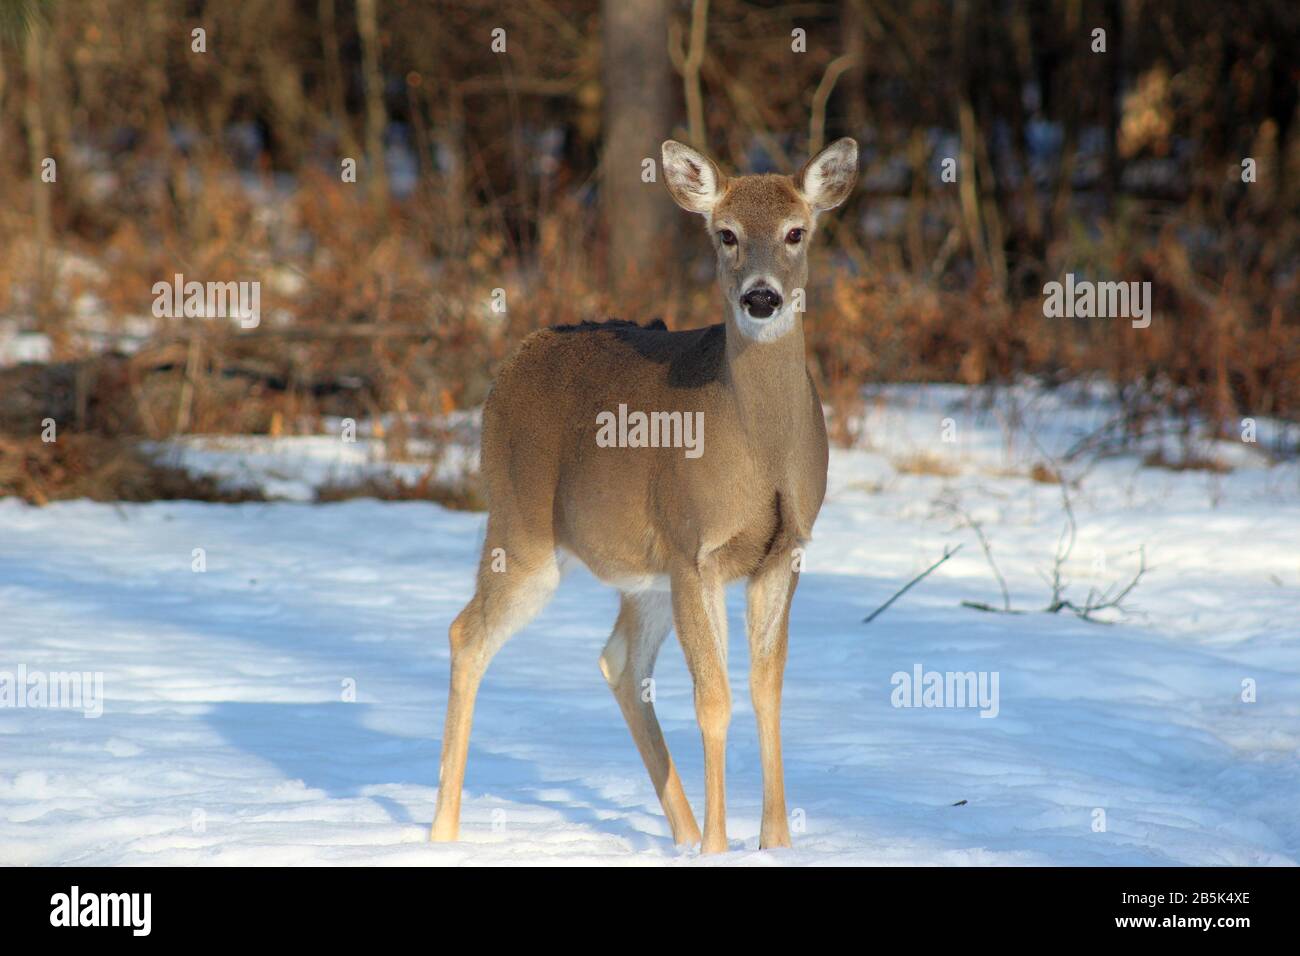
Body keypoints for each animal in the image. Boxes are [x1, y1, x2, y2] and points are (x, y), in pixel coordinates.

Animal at [430, 136, 859, 854]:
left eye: (797, 232)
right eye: (726, 234)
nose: (762, 298)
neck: (761, 448)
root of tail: (513, 360)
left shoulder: (784, 551)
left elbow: (766, 690)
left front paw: (775, 844)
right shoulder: (695, 546)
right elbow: (714, 700)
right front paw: (719, 849)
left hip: (642, 572)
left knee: (619, 661)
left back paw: (680, 833)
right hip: (521, 523)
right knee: (468, 634)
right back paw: (441, 832)